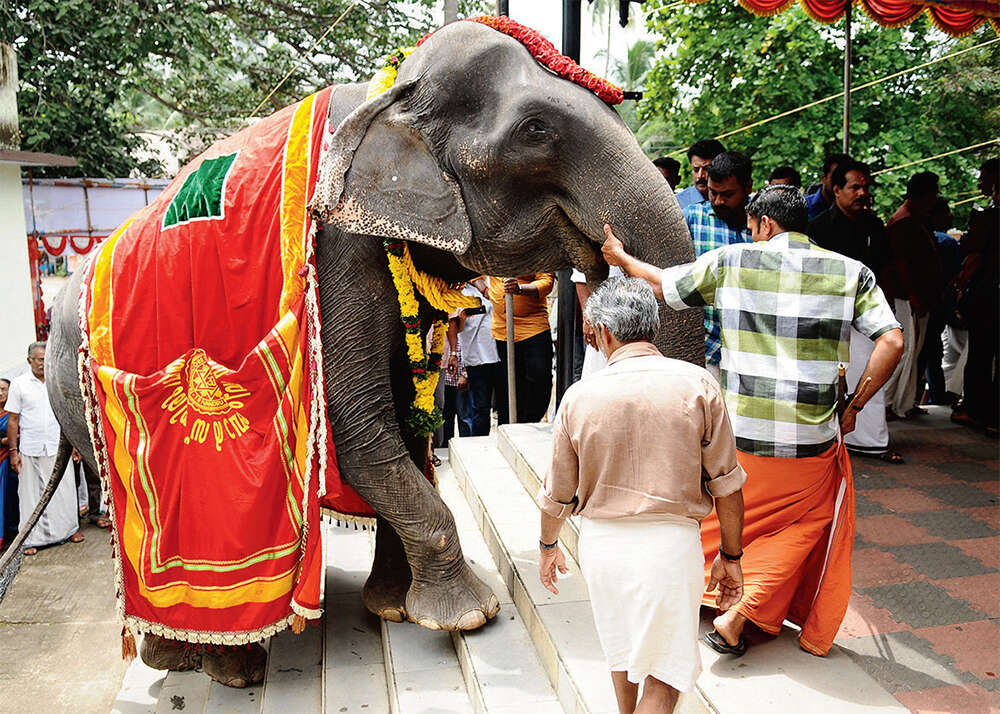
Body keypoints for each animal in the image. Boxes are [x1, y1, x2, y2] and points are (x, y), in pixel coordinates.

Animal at [31, 19, 703, 686]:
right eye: (535, 130)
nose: (610, 252)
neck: (392, 93)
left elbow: (406, 422)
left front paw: (393, 608)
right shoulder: (336, 248)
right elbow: (360, 427)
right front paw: (468, 616)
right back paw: (223, 665)